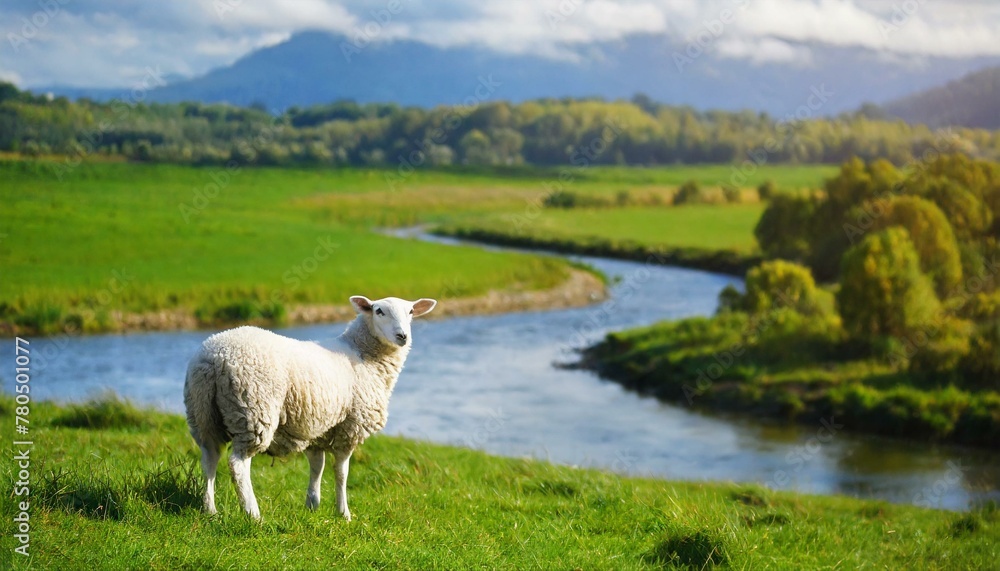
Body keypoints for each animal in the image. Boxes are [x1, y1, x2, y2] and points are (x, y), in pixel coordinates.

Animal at [183, 295, 437, 520]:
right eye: (379, 311)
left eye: (411, 312)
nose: (402, 336)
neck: (362, 353)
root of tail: (215, 357)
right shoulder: (350, 426)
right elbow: (341, 472)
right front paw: (343, 513)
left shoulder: (317, 427)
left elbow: (317, 466)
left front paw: (312, 505)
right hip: (254, 410)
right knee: (238, 464)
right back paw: (252, 513)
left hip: (202, 414)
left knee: (209, 458)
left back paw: (210, 510)